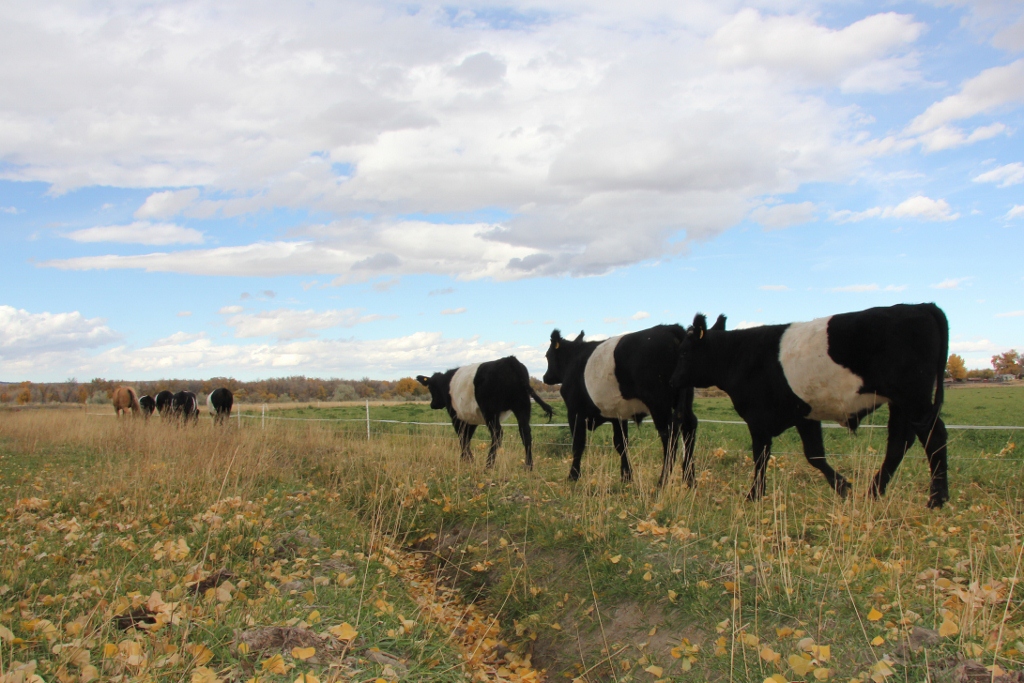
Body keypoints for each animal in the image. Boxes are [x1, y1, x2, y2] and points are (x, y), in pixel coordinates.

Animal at [416, 356, 554, 469]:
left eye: (431, 387)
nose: (432, 405)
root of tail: (510, 360)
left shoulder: (456, 416)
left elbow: (462, 437)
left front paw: (467, 459)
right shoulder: (470, 418)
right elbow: (467, 438)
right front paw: (466, 459)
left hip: (490, 411)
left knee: (497, 433)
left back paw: (489, 465)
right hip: (522, 406)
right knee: (525, 433)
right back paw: (528, 466)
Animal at [542, 323, 720, 485]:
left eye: (547, 355)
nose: (545, 377)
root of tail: (670, 328)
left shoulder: (575, 411)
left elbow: (578, 443)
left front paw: (573, 476)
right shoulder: (617, 415)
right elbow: (621, 444)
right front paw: (626, 477)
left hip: (659, 403)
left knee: (669, 434)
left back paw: (662, 482)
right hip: (685, 399)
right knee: (689, 426)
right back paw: (690, 480)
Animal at [670, 303, 949, 508]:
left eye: (683, 353)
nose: (673, 381)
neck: (739, 355)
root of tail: (921, 306)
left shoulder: (758, 419)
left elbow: (760, 457)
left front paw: (753, 496)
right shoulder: (805, 416)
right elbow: (815, 455)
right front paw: (843, 487)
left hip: (913, 399)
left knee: (934, 436)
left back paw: (936, 499)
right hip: (901, 403)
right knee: (899, 443)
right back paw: (873, 492)